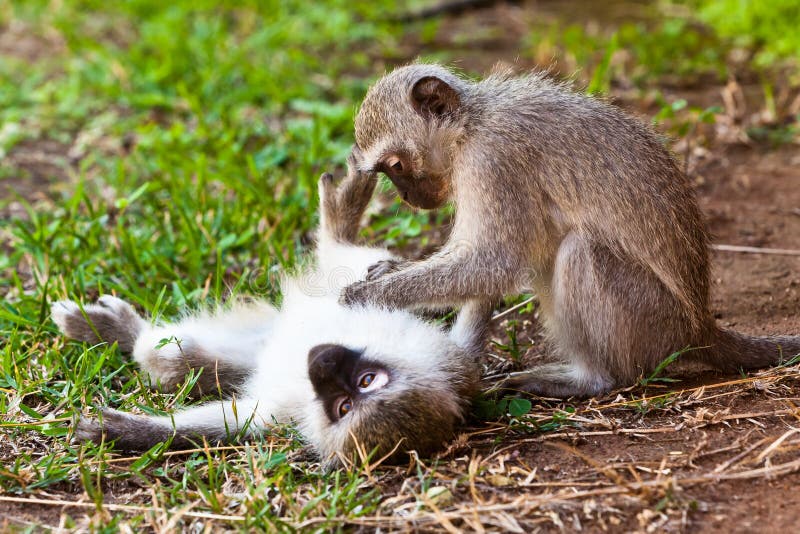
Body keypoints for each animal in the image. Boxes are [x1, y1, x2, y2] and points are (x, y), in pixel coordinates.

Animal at [51, 160, 491, 468]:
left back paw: (117, 333)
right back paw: (342, 216)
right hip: (344, 287)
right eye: (369, 380)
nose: (320, 362)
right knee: (344, 255)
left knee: (174, 357)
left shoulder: (285, 414)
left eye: (344, 407)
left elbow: (233, 422)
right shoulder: (450, 354)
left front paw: (122, 432)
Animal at [341, 62, 800, 398]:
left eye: (396, 166)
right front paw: (386, 272)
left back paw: (591, 380)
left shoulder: (491, 162)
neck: (471, 124)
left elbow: (493, 262)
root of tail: (700, 327)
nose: (407, 197)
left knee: (581, 250)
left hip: (652, 324)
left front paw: (368, 296)